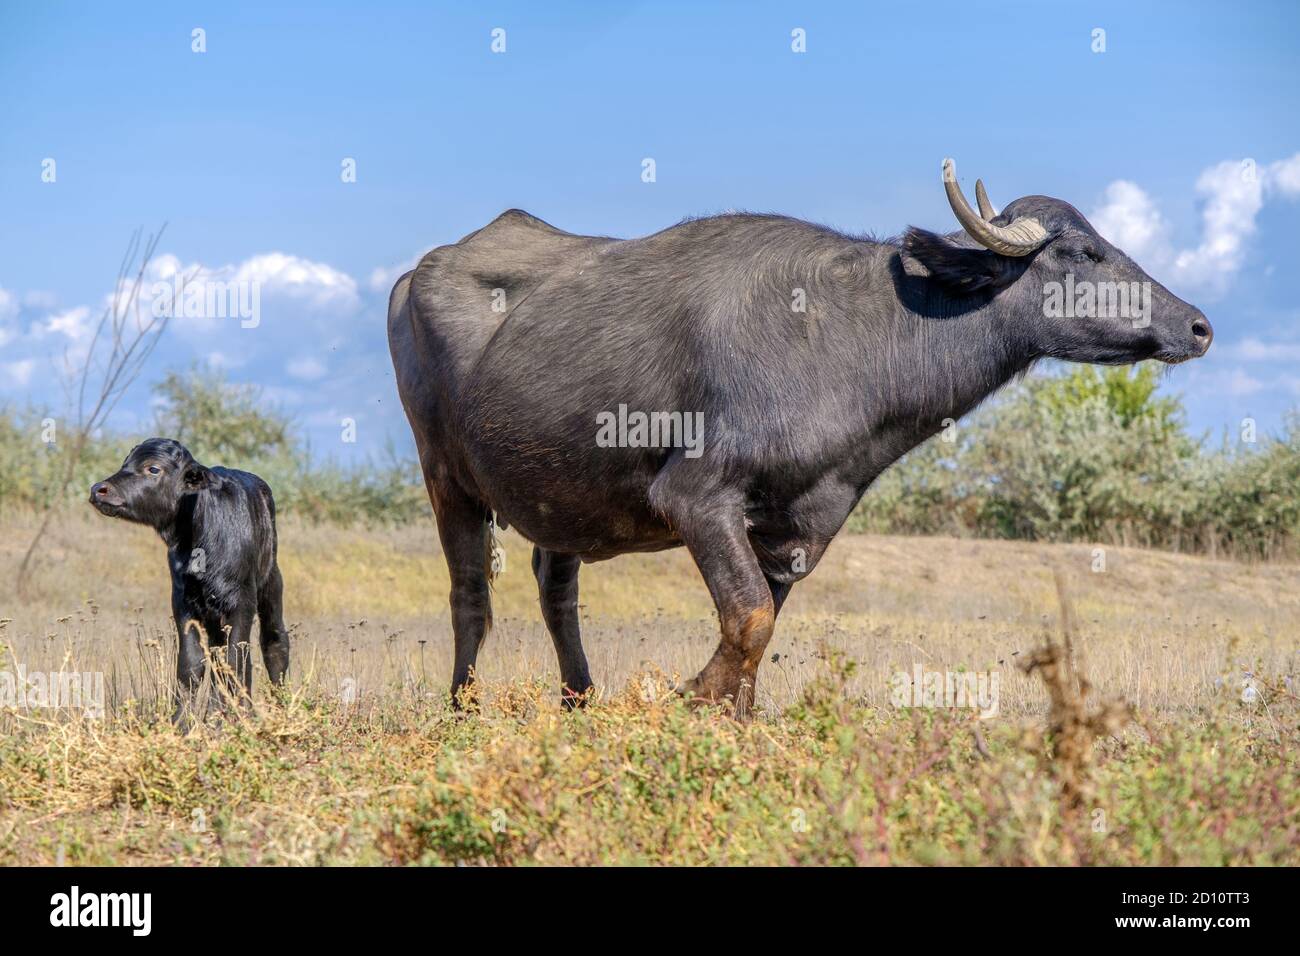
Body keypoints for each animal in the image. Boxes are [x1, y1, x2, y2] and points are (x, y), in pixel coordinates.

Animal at [387, 159, 1212, 718]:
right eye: (1080, 253)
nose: (1199, 325)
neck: (851, 334)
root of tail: (416, 274)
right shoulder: (696, 495)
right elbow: (748, 618)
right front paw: (687, 695)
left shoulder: (801, 525)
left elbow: (759, 627)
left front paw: (734, 720)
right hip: (445, 475)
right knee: (470, 594)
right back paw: (462, 709)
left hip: (561, 496)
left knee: (556, 590)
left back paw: (581, 702)